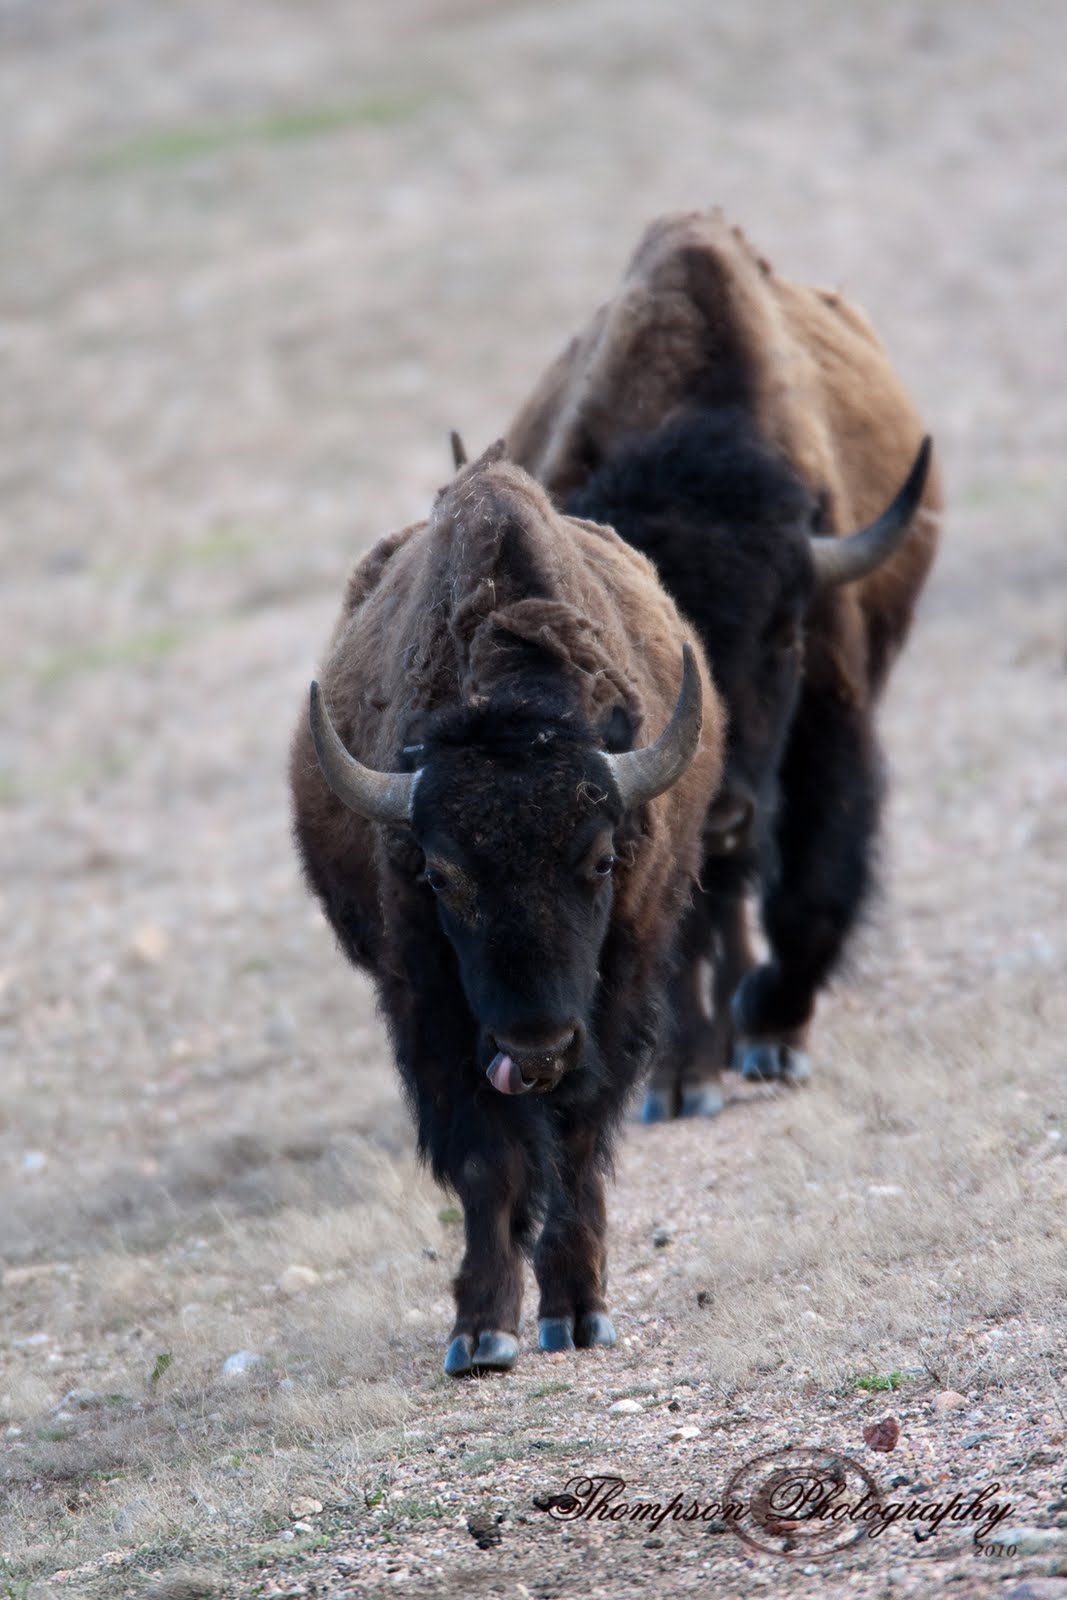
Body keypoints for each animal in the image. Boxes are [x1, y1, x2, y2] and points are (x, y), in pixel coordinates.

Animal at [290, 445, 724, 1374]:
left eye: (600, 858)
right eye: (439, 874)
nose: (534, 1048)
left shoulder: (613, 1002)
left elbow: (578, 1139)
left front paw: (578, 1311)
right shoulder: (432, 1013)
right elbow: (487, 1160)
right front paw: (481, 1333)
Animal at [504, 211, 942, 1118]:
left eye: (784, 633)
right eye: (625, 664)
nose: (720, 814)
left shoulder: (828, 725)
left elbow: (813, 893)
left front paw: (770, 1031)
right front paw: (679, 1076)